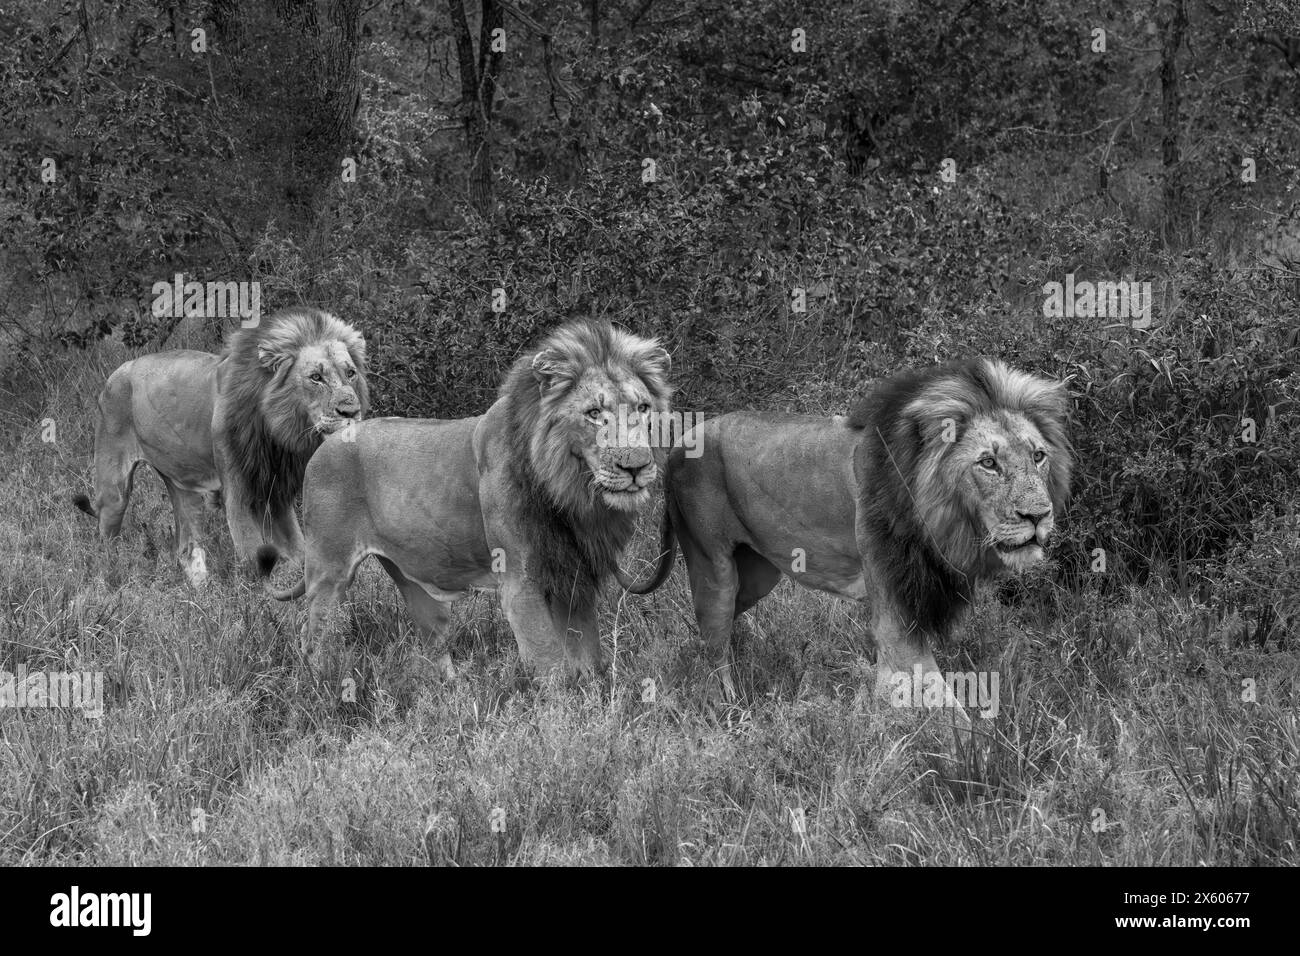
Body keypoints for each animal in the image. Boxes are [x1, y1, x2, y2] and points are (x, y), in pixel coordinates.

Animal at [73, 307, 368, 585]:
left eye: (350, 373)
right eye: (316, 377)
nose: (351, 412)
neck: (279, 430)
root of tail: (119, 370)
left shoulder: (277, 493)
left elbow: (301, 552)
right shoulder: (238, 494)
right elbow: (254, 556)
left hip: (181, 486)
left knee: (186, 545)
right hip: (114, 489)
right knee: (105, 542)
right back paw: (110, 581)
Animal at [258, 319, 673, 677]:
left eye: (643, 408)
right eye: (593, 413)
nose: (636, 466)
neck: (570, 490)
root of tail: (327, 442)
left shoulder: (574, 578)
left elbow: (589, 659)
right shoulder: (520, 584)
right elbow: (552, 665)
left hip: (414, 579)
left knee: (434, 646)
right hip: (328, 570)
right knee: (314, 639)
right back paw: (322, 689)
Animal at [624, 358, 1072, 720]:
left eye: (1038, 456)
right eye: (988, 463)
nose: (1038, 515)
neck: (941, 523)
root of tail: (678, 446)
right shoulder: (895, 615)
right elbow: (947, 707)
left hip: (755, 576)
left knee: (713, 630)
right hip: (713, 565)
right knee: (714, 643)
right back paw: (729, 709)